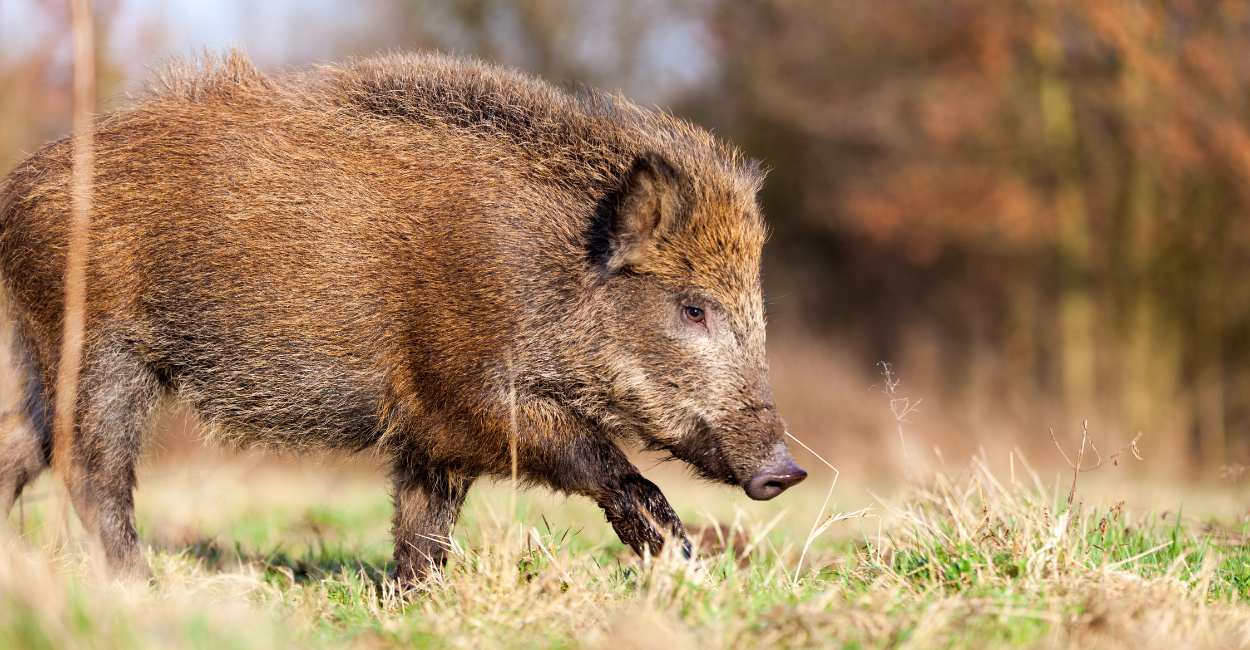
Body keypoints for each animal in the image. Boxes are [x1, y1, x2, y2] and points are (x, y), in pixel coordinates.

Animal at [0, 52, 806, 583]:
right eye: (693, 307)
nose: (786, 471)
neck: (547, 272)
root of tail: (17, 192)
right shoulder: (463, 396)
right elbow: (605, 463)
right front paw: (684, 567)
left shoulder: (428, 434)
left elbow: (425, 525)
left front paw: (414, 599)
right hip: (98, 347)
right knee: (89, 468)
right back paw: (139, 587)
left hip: (47, 354)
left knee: (21, 445)